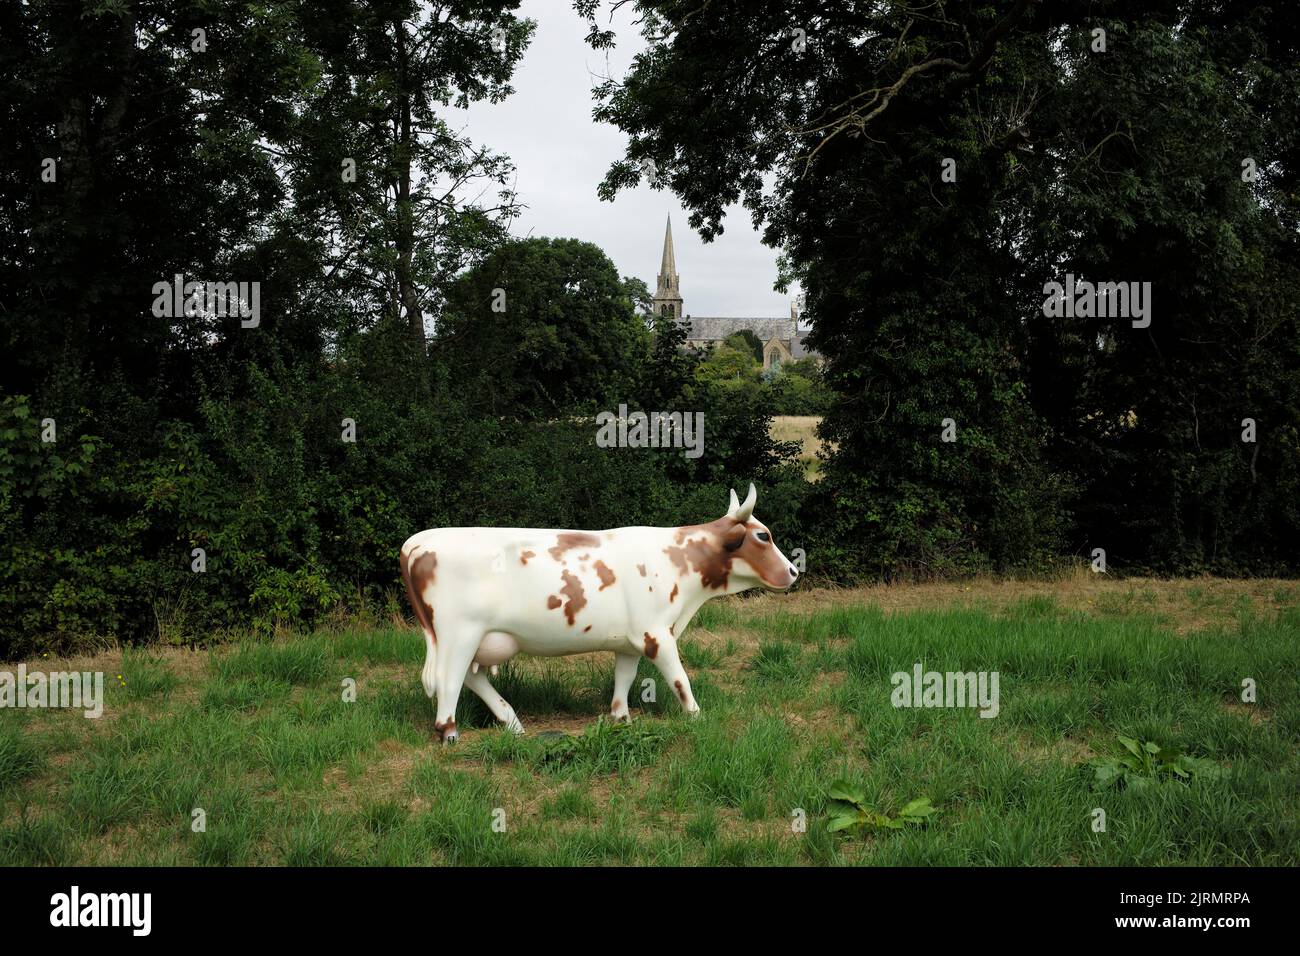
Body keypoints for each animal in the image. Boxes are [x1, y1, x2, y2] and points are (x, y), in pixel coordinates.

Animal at [399, 483, 798, 743]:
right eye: (763, 536)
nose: (794, 571)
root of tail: (419, 541)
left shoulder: (632, 638)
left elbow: (625, 676)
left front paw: (621, 718)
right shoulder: (657, 632)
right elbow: (679, 678)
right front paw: (696, 716)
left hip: (477, 638)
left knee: (472, 677)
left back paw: (512, 722)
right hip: (459, 633)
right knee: (450, 679)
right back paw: (449, 731)